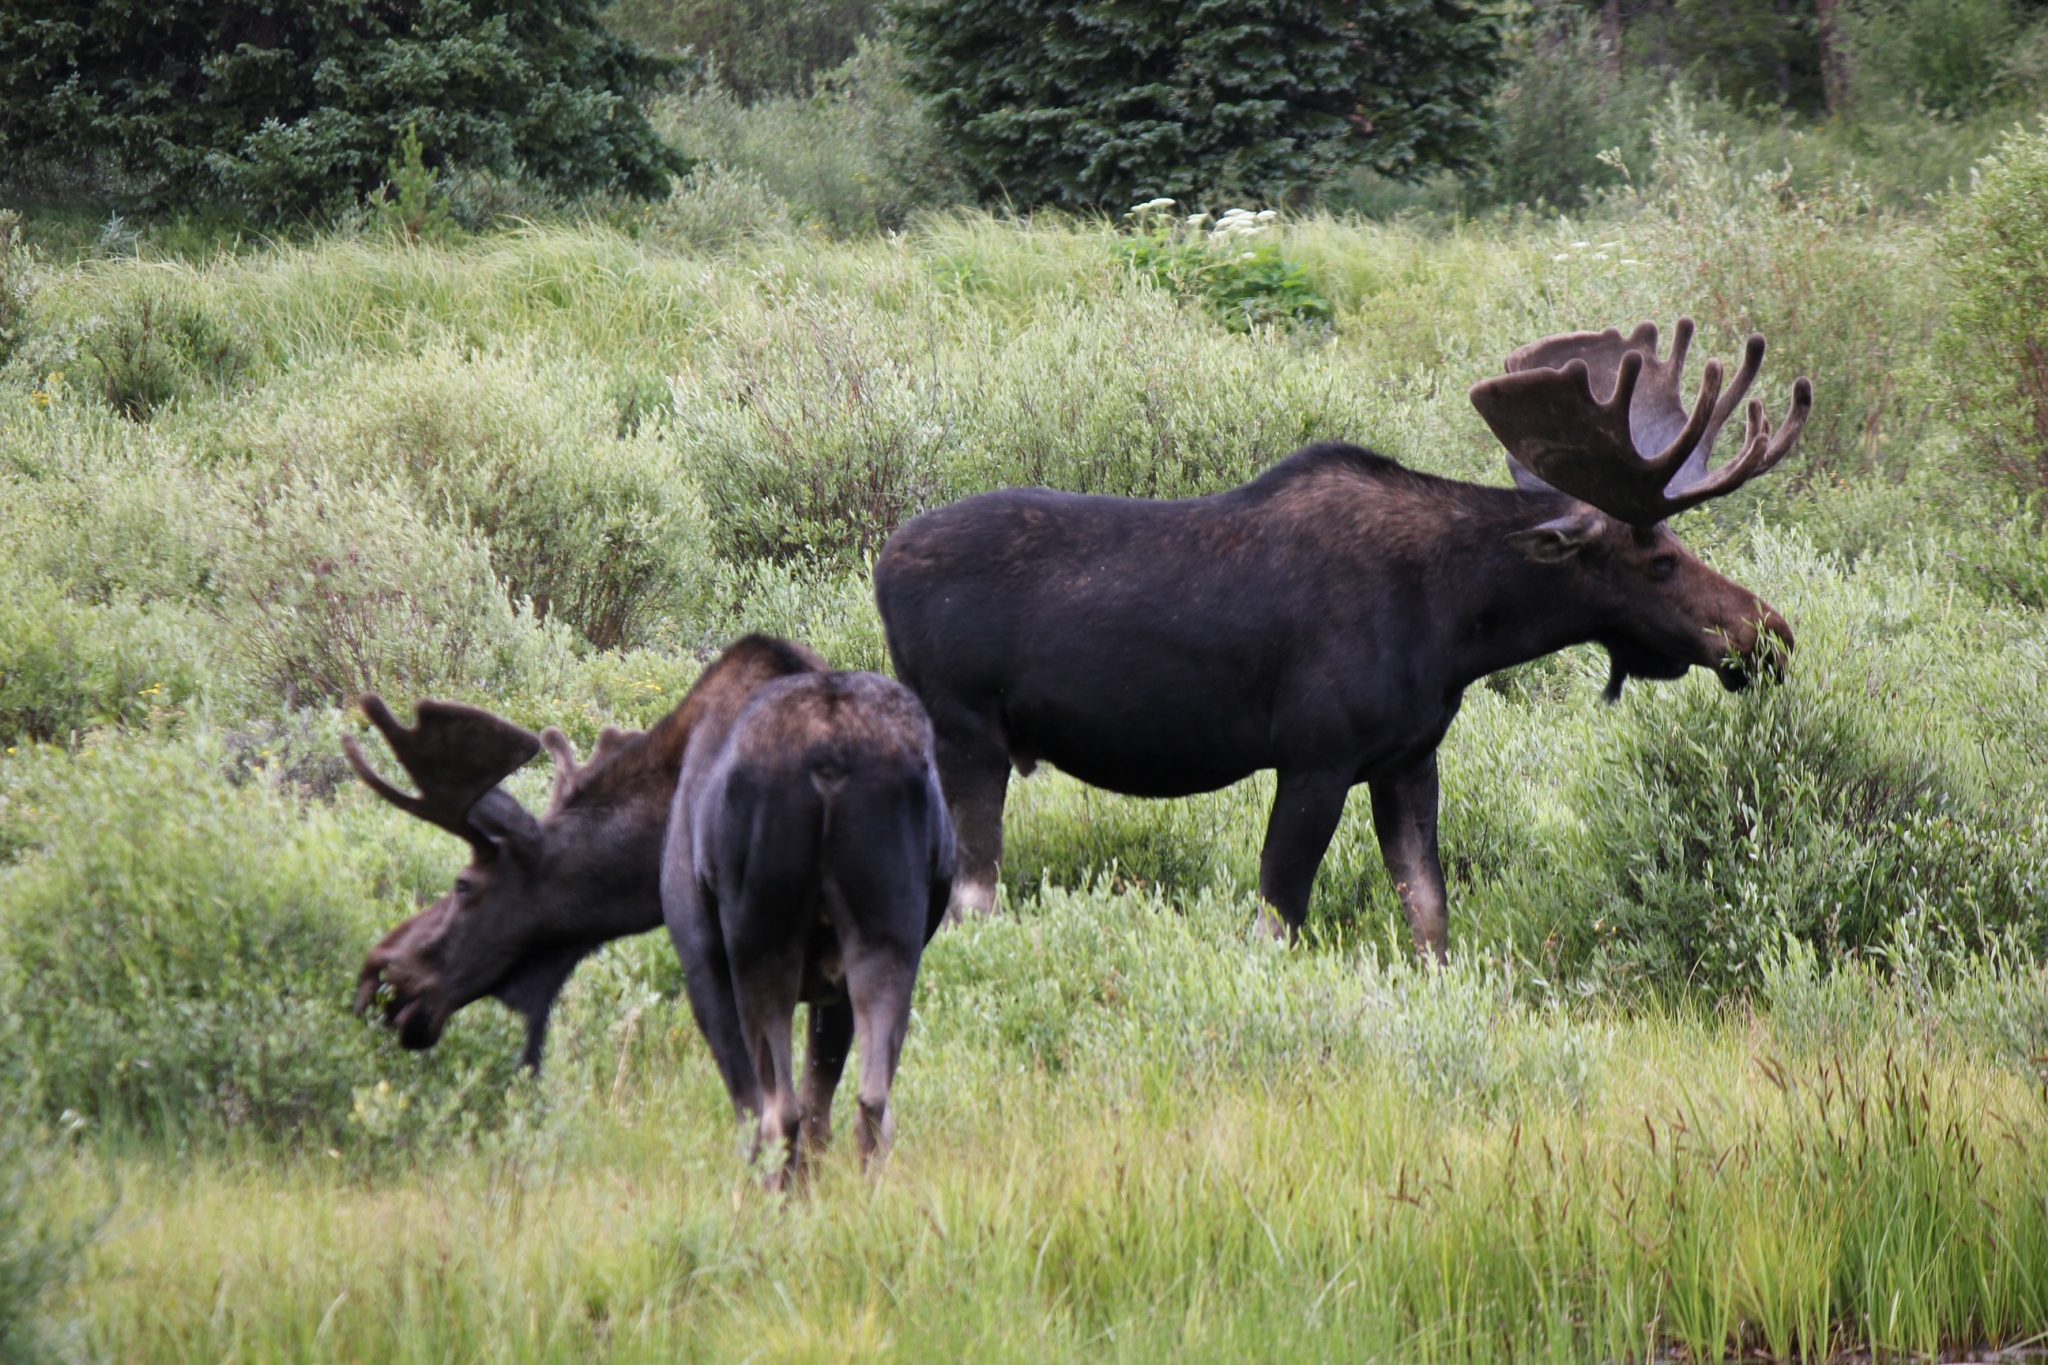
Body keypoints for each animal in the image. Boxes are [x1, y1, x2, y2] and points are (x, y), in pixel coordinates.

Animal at [346, 634, 954, 1182]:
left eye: (464, 884)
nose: (382, 970)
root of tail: (829, 763)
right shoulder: (832, 986)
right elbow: (820, 1120)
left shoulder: (701, 956)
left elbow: (757, 1115)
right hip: (886, 935)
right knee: (871, 1105)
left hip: (759, 941)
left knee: (777, 1115)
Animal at [873, 318, 1812, 961]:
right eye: (1657, 558)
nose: (1769, 632)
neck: (1458, 626)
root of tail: (880, 567)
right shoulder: (1315, 757)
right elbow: (1278, 918)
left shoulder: (1408, 759)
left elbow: (1431, 921)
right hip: (967, 734)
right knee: (972, 897)